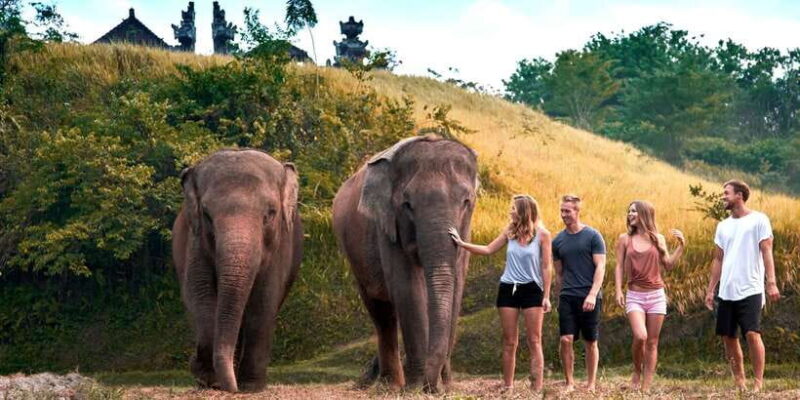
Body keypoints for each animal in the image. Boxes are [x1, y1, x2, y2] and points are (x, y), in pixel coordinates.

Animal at [171, 149, 302, 392]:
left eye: (270, 213)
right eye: (206, 215)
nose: (231, 388)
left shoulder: (282, 245)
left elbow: (264, 300)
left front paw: (250, 386)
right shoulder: (195, 241)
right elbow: (199, 294)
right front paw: (207, 377)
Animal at [332, 135, 478, 392]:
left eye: (466, 201)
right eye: (407, 204)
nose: (434, 387)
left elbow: (457, 287)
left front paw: (446, 387)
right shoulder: (387, 226)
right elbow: (407, 288)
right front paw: (416, 387)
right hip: (354, 254)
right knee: (382, 312)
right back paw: (389, 385)